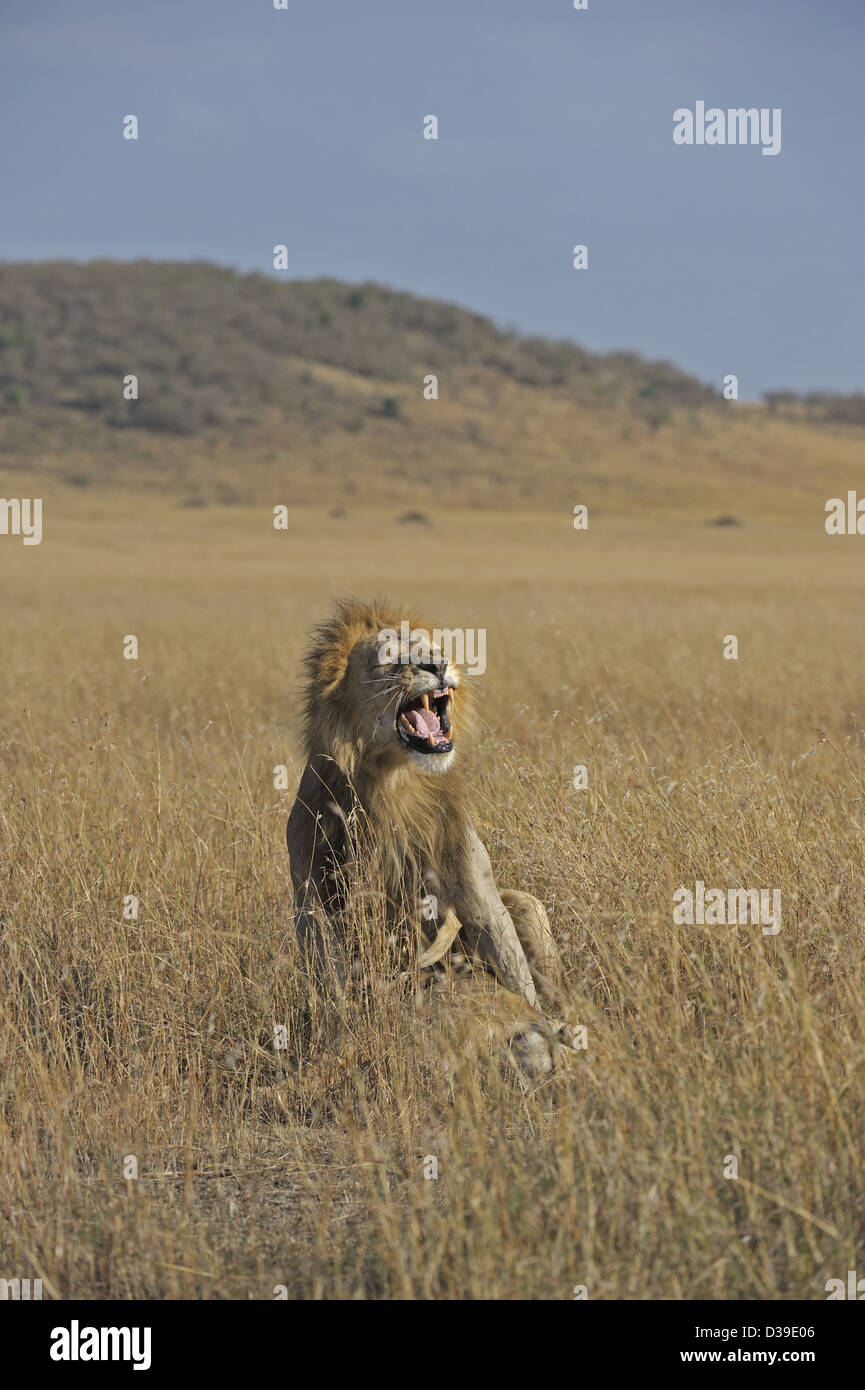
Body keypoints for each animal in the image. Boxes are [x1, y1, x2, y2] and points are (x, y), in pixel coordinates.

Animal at [285, 597, 566, 1072]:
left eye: (432, 648)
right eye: (390, 658)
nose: (438, 664)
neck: (393, 781)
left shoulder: (475, 883)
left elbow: (503, 946)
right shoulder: (311, 885)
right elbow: (331, 976)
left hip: (524, 905)